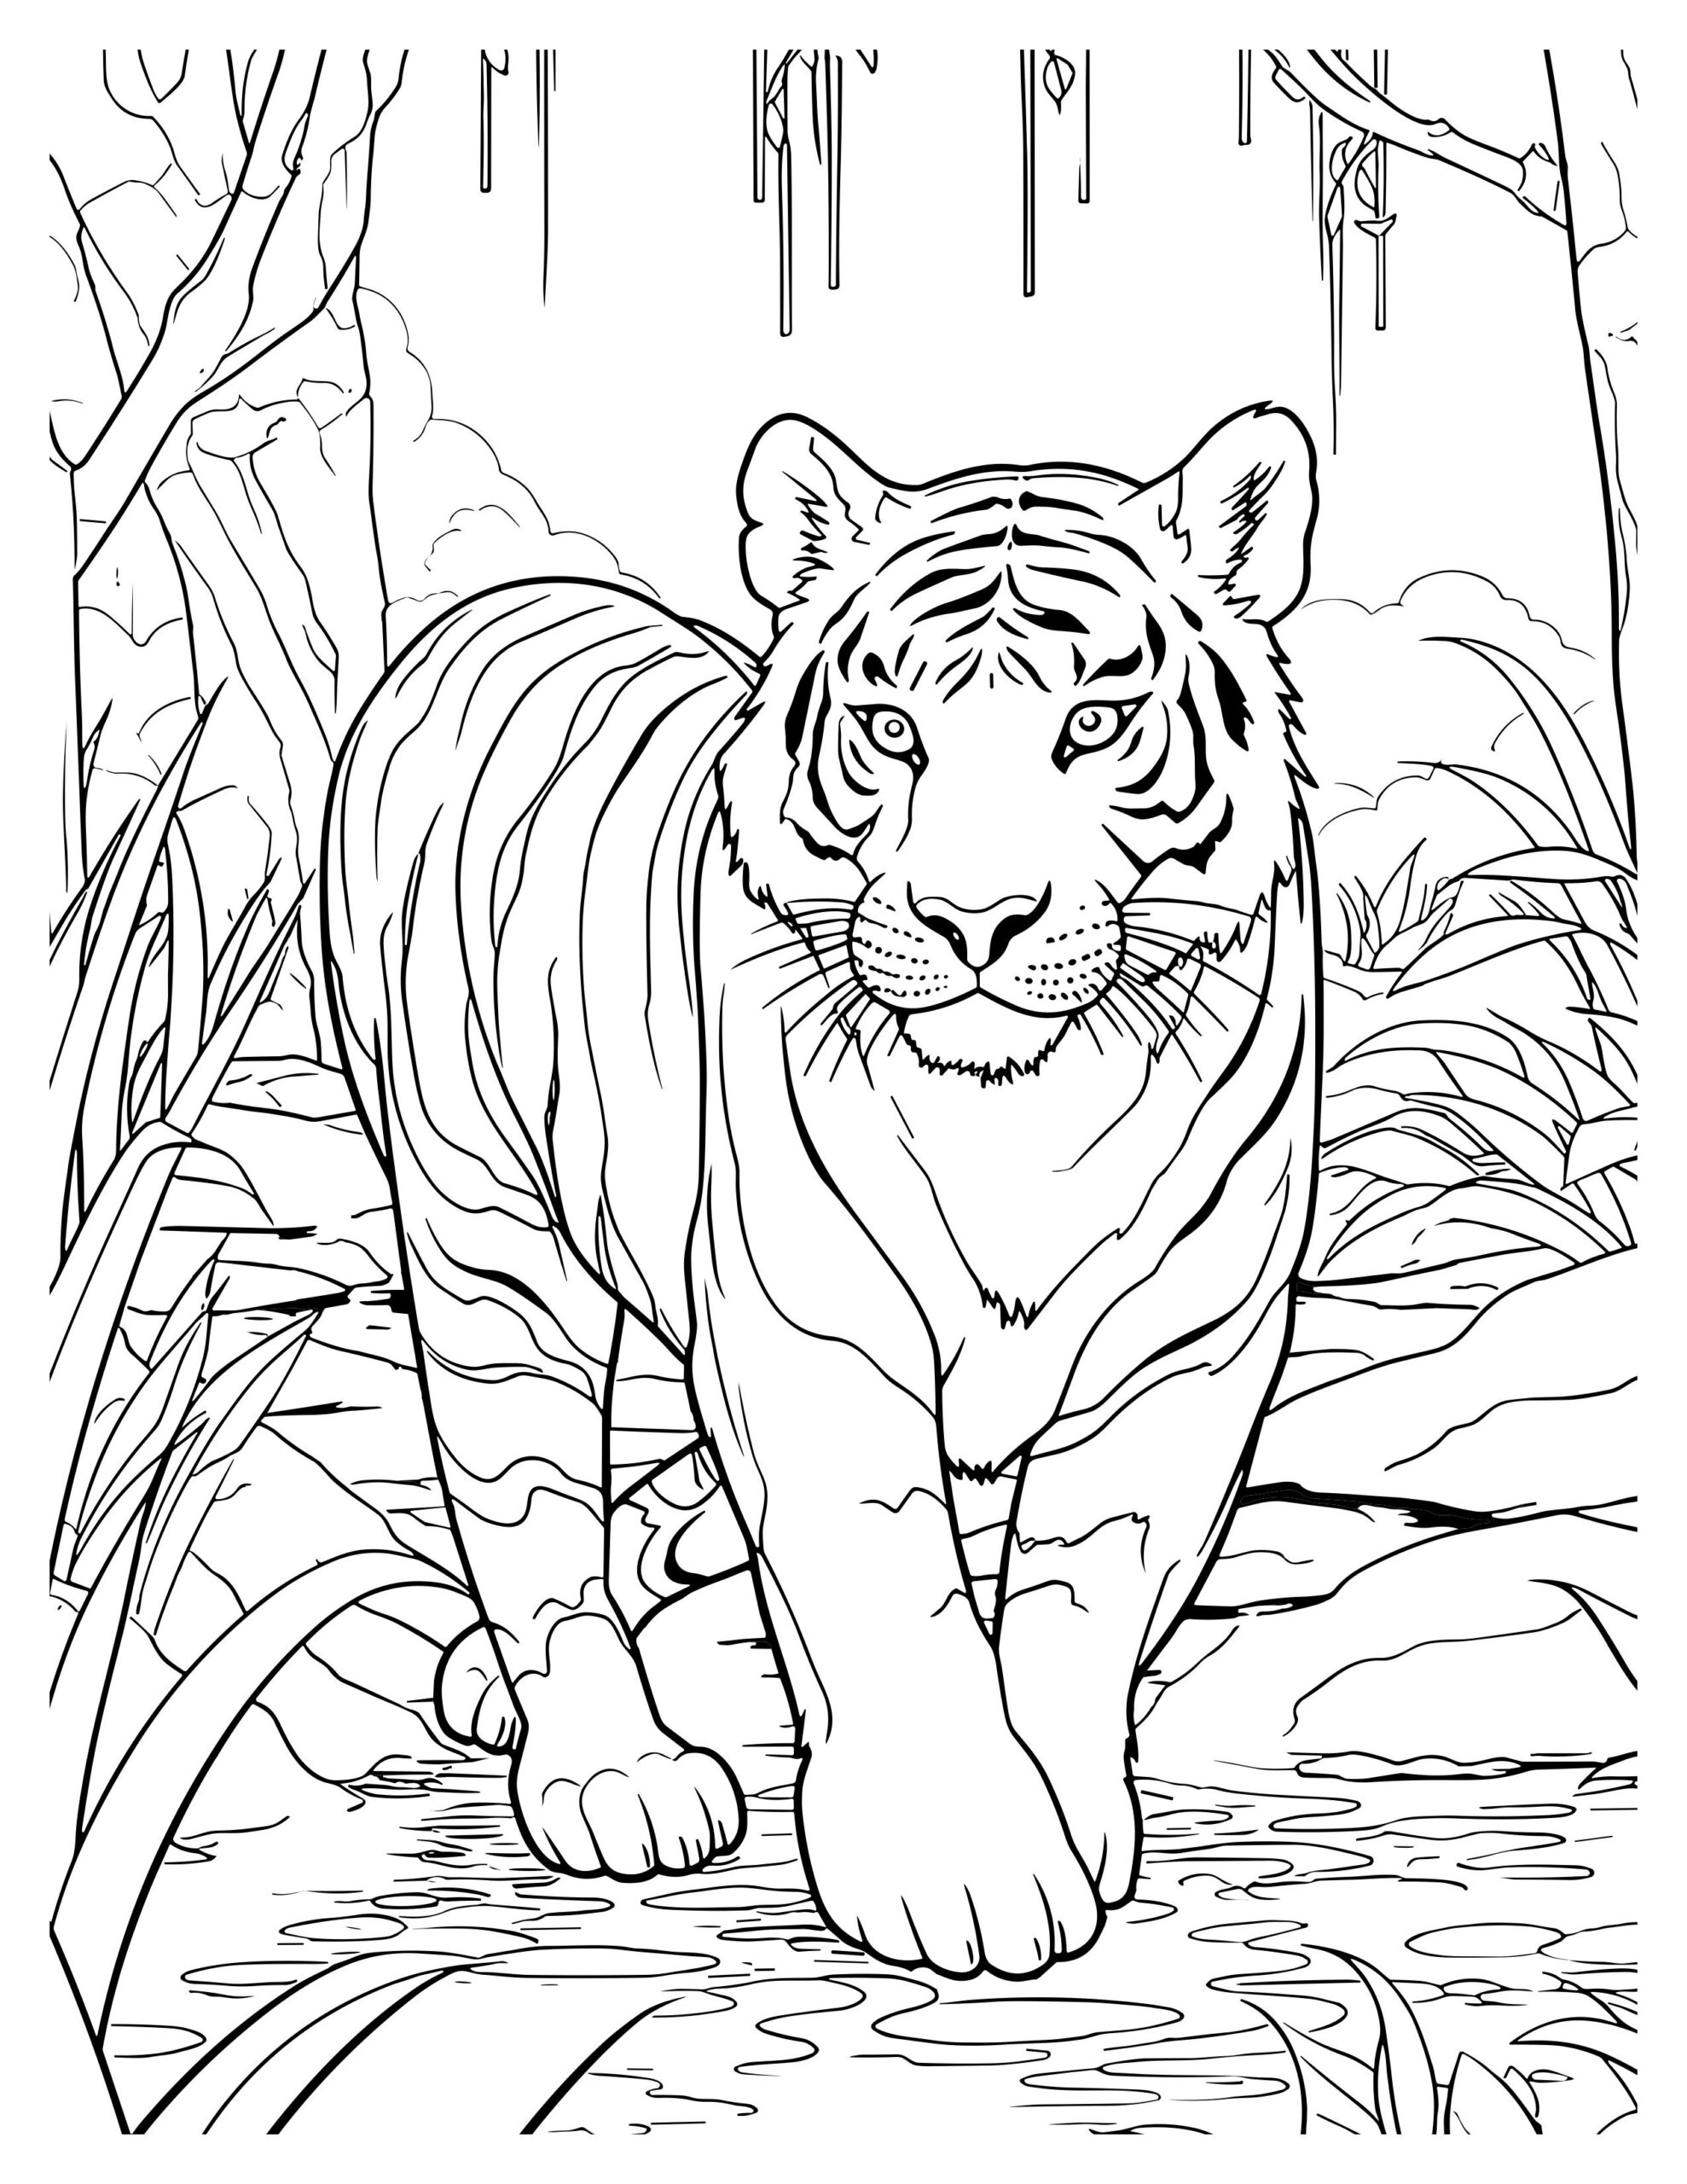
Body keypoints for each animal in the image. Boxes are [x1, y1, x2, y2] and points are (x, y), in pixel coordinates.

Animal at [323, 403, 1321, 1980]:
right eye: (891, 731)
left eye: (1092, 728)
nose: (975, 920)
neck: (1021, 1113)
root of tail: (495, 606)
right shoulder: (815, 1333)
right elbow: (882, 1586)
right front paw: (957, 1868)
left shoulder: (1180, 1354)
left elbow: (1081, 1600)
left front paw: (1061, 1812)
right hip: (485, 1225)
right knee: (526, 1497)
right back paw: (610, 1769)